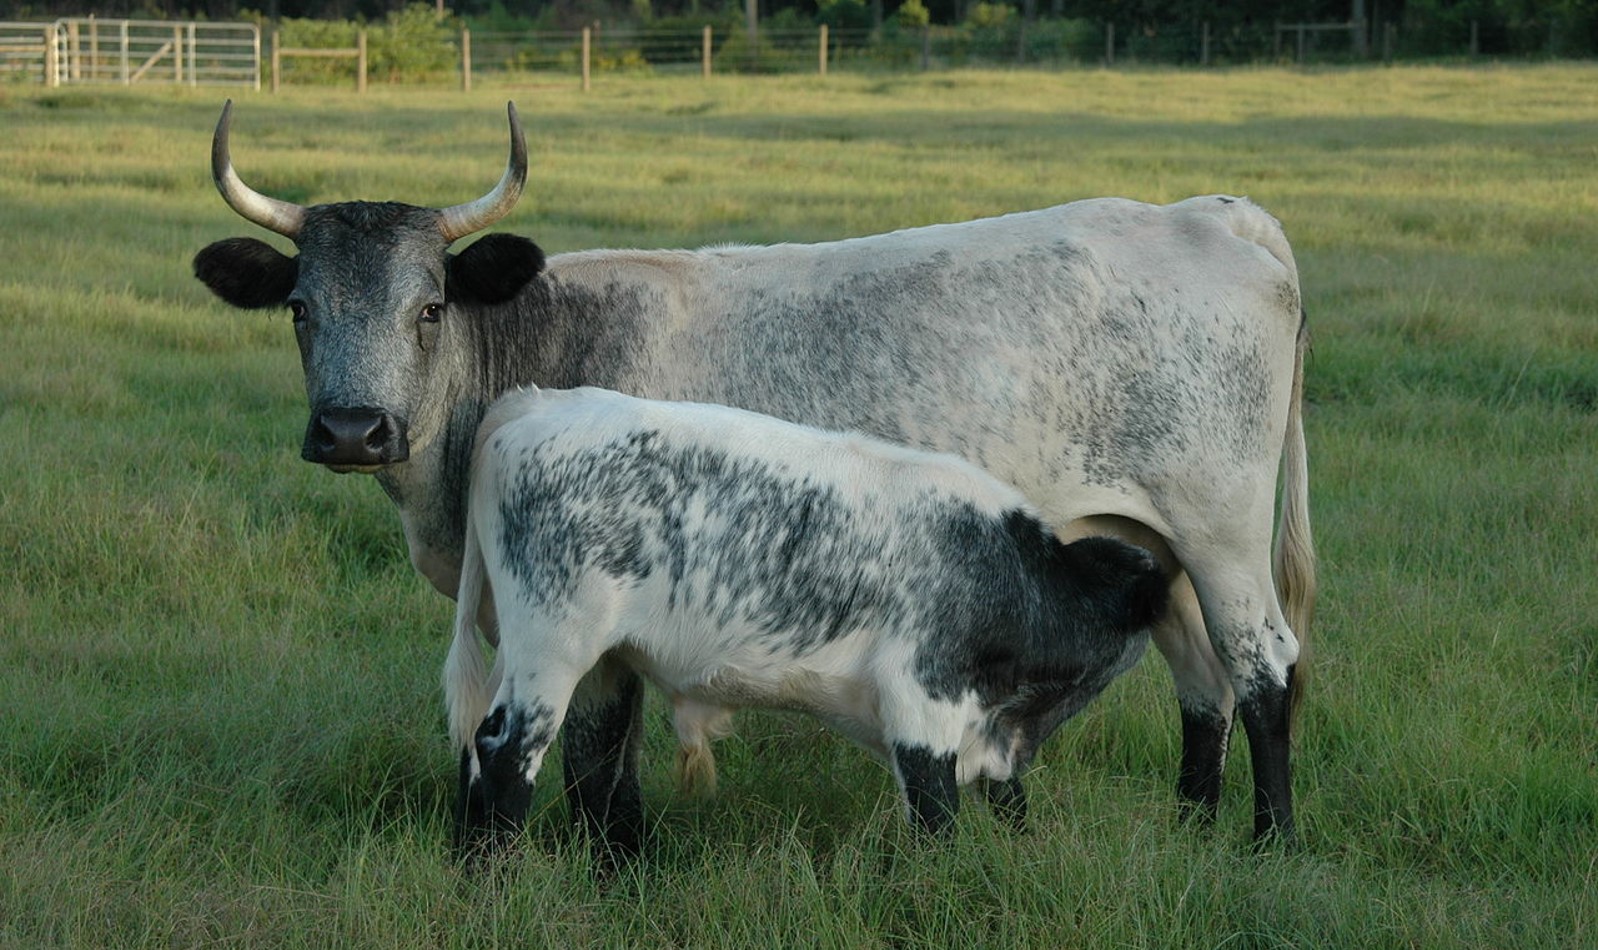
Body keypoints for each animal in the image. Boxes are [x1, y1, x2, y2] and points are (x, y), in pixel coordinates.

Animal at [445, 385, 1171, 851]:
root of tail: (537, 403)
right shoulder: (923, 701)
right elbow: (936, 821)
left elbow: (1006, 800)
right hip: (552, 645)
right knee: (507, 754)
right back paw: (496, 874)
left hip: (587, 658)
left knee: (557, 759)